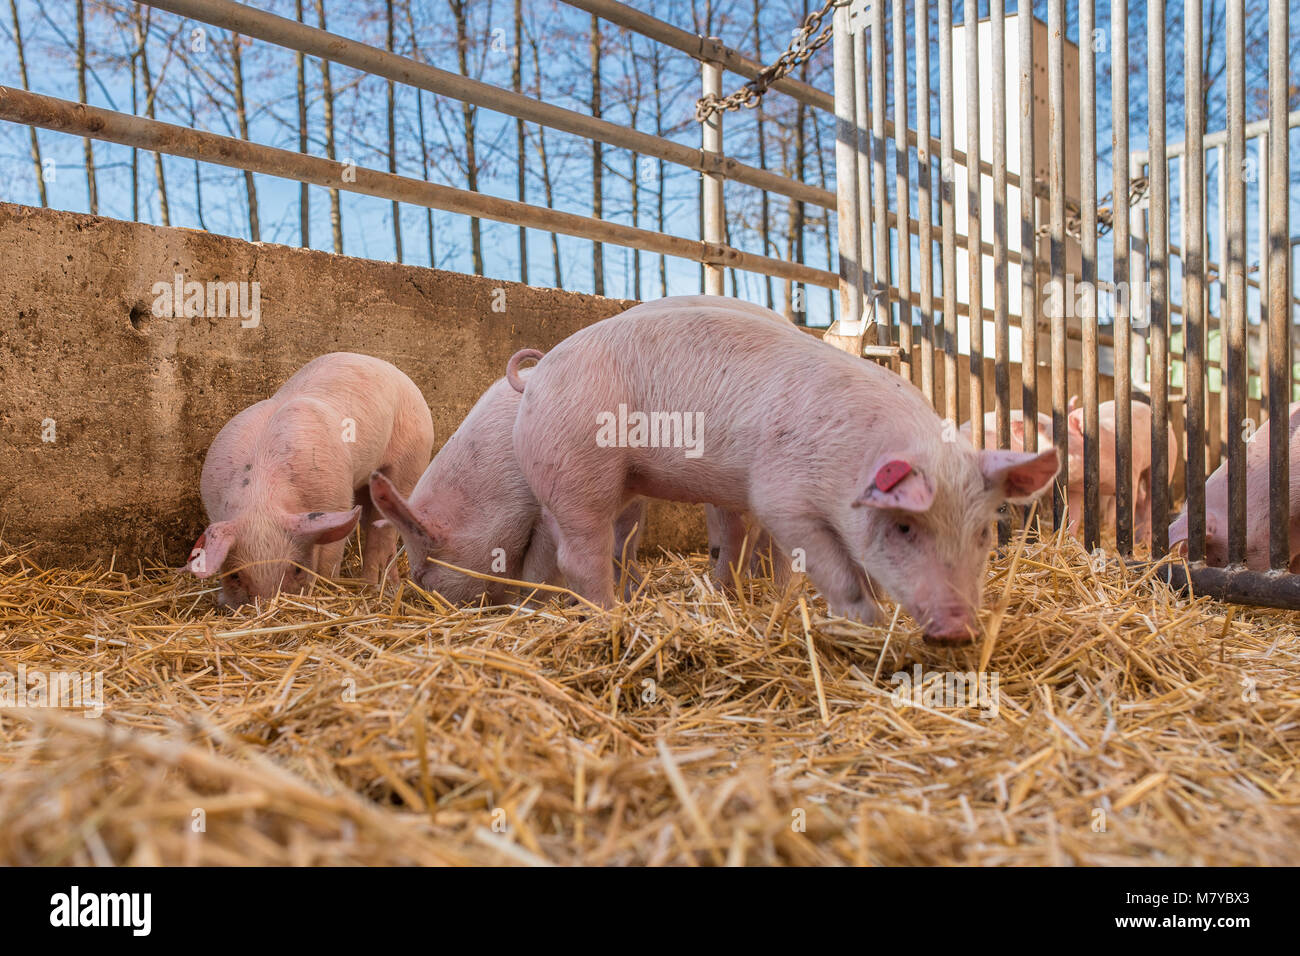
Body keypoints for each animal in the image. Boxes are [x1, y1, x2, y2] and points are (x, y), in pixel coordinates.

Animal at [187, 352, 434, 608]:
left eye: (297, 569)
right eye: (235, 575)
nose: (268, 605)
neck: (260, 496)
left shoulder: (337, 499)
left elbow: (330, 558)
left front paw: (328, 587)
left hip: (412, 458)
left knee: (383, 533)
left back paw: (374, 587)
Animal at [509, 298, 1058, 644]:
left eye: (983, 533)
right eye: (904, 527)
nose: (958, 629)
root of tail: (538, 376)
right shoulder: (782, 497)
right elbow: (825, 567)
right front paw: (864, 623)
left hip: (615, 480)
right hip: (580, 468)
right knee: (580, 553)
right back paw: (612, 617)